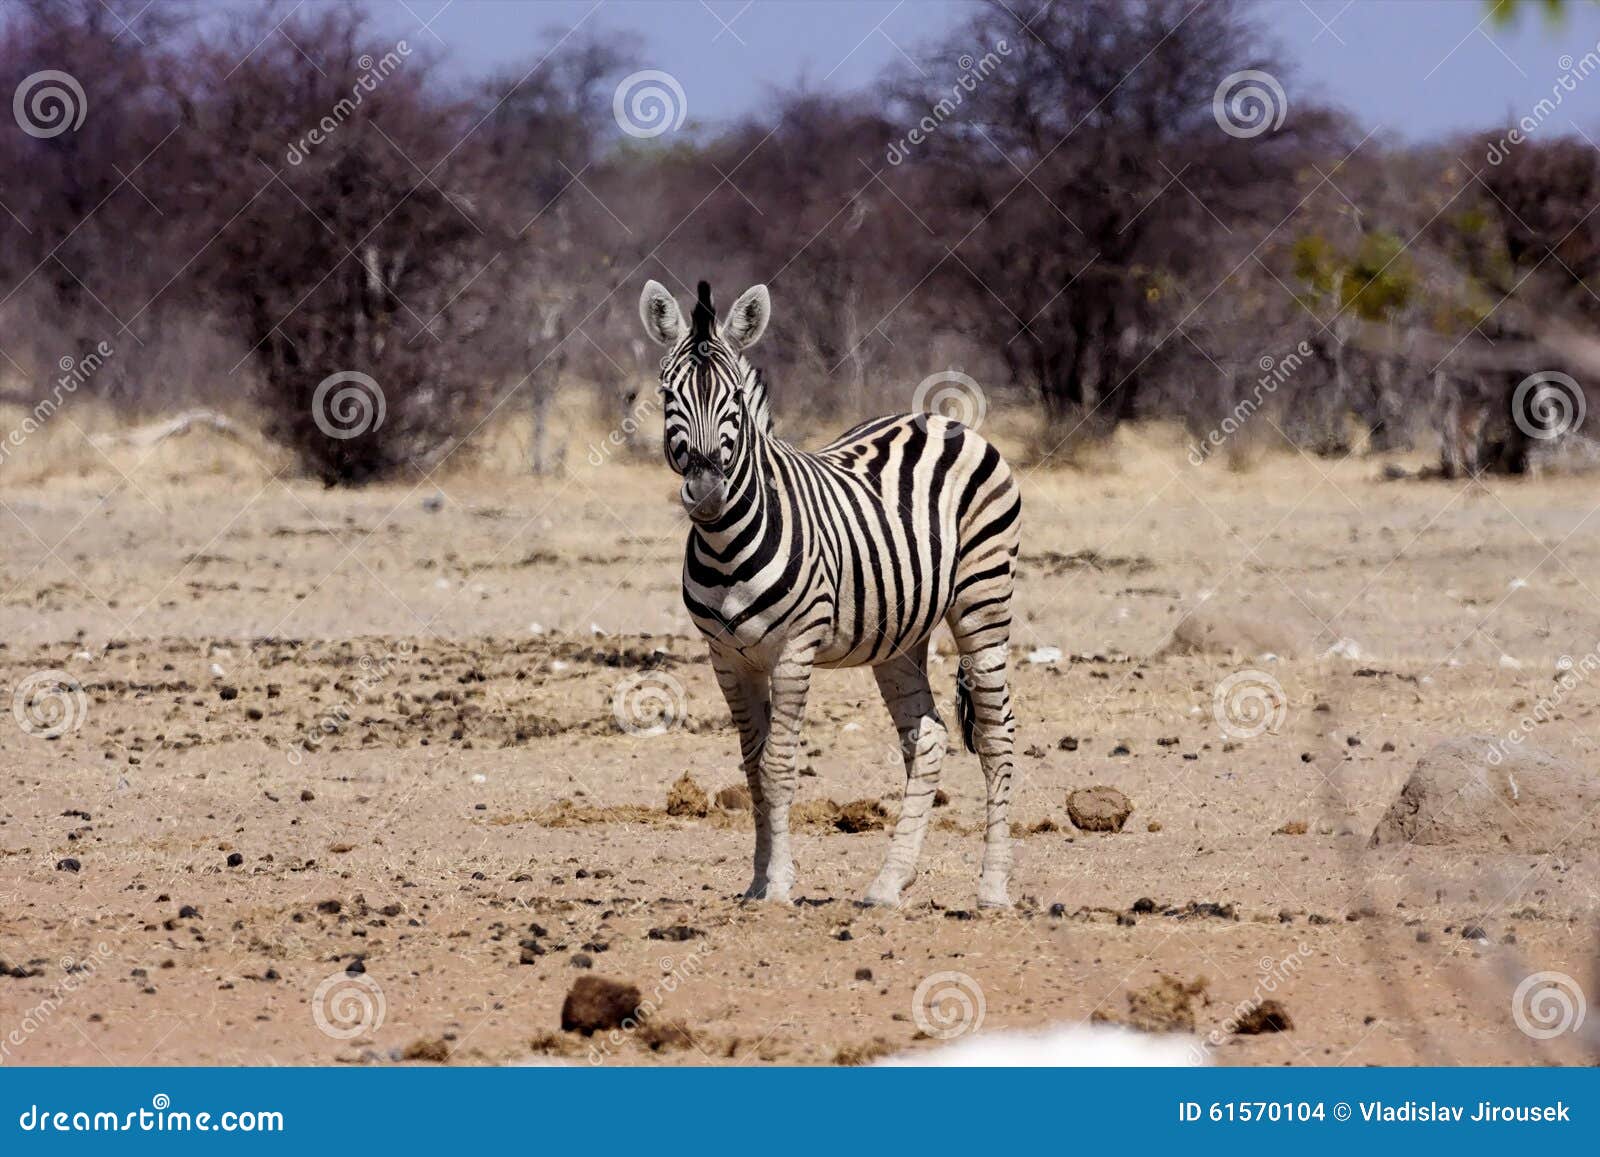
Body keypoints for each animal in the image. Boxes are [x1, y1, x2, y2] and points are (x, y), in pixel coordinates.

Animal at [639, 279, 1021, 909]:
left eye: (734, 399)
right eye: (668, 394)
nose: (706, 492)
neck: (725, 542)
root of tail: (941, 419)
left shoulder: (794, 651)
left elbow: (779, 767)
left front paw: (778, 886)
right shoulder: (727, 659)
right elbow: (752, 767)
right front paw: (757, 881)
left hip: (983, 603)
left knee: (995, 735)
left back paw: (992, 887)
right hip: (900, 636)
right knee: (929, 738)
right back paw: (889, 883)